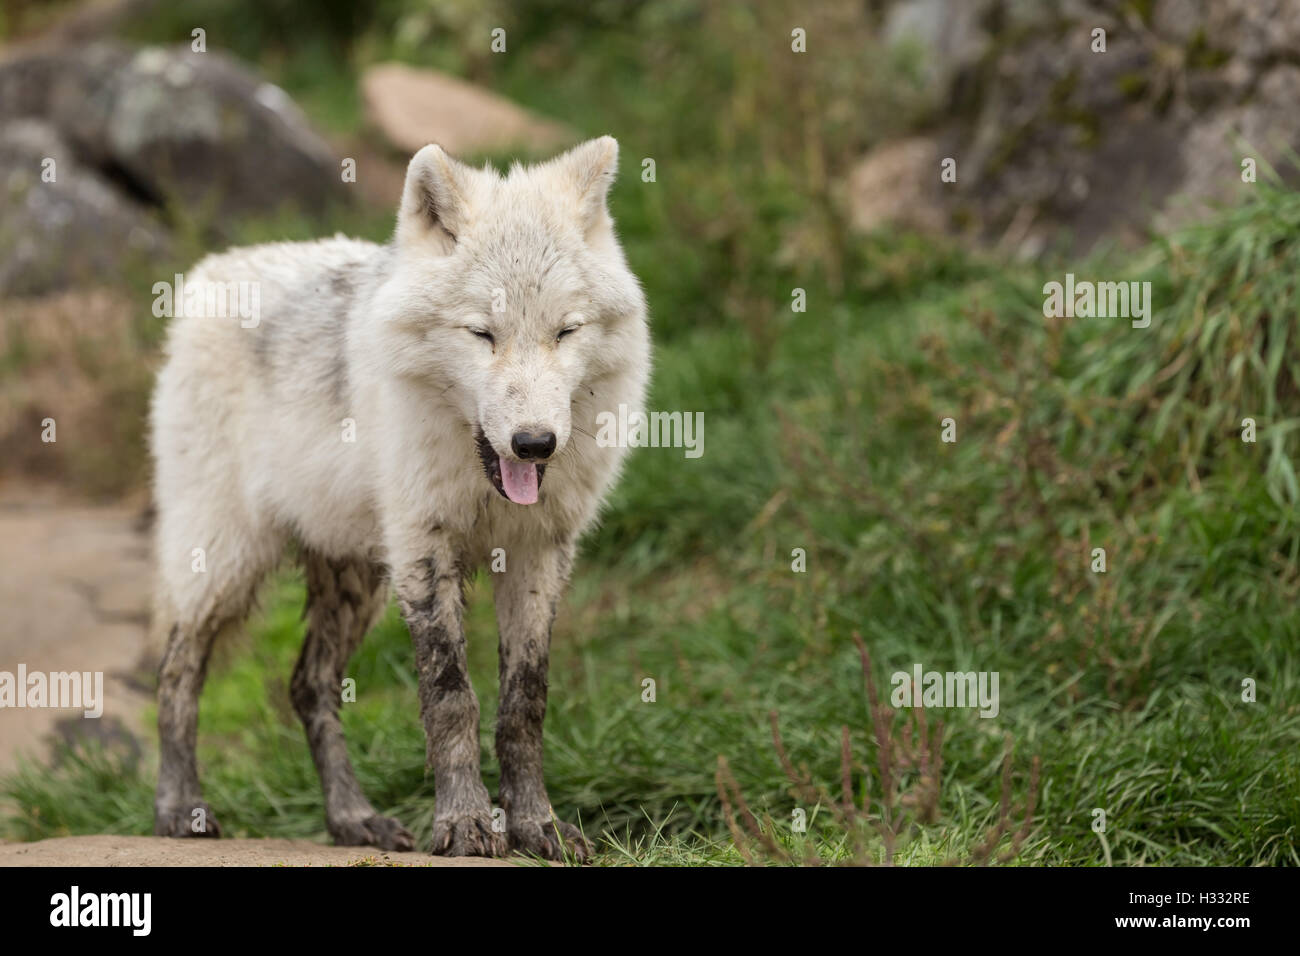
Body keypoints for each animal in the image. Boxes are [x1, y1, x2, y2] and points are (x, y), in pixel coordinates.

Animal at [149, 137, 649, 860]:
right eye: (482, 334)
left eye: (566, 331)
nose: (534, 443)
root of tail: (209, 272)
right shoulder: (422, 548)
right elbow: (451, 696)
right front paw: (465, 824)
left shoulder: (538, 555)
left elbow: (524, 703)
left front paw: (537, 827)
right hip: (222, 563)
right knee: (176, 674)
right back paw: (179, 808)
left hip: (354, 580)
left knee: (307, 686)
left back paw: (352, 819)